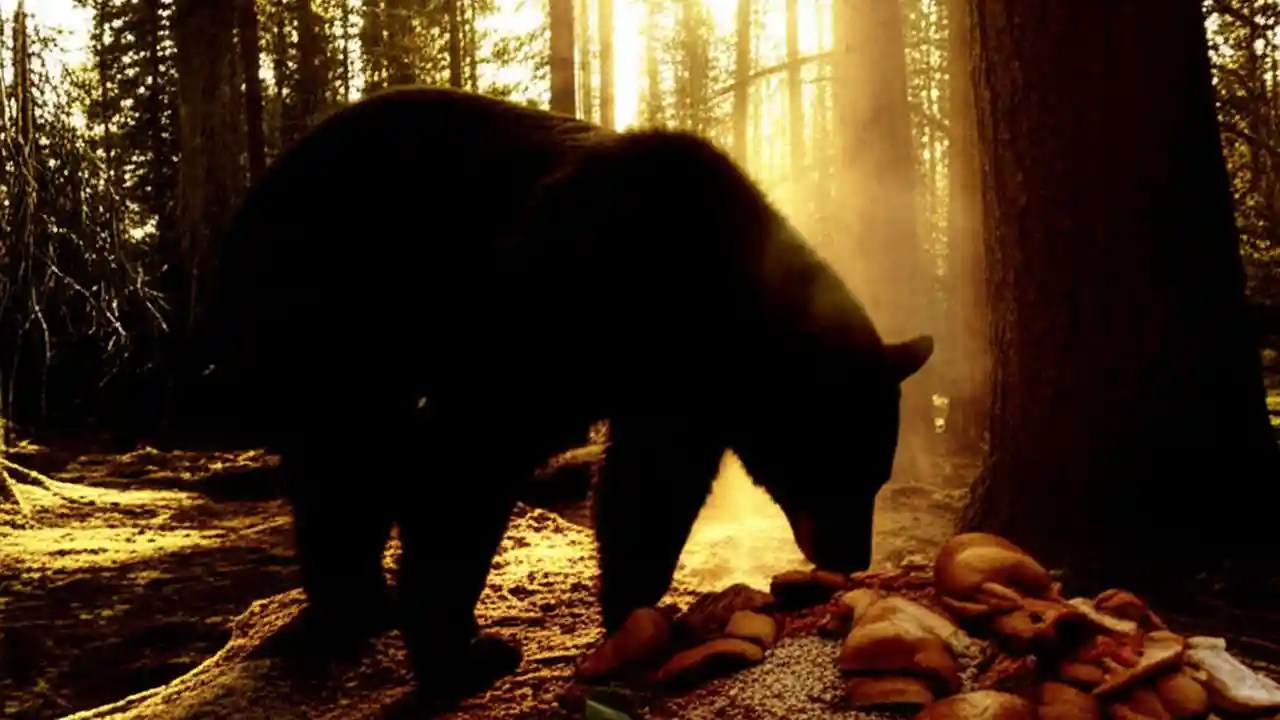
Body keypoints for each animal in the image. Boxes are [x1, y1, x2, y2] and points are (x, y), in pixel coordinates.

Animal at [196, 86, 933, 710]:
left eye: (877, 474)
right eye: (841, 472)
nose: (853, 557)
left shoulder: (676, 385)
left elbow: (651, 486)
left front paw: (636, 611)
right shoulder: (556, 304)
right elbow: (468, 454)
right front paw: (463, 656)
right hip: (324, 302)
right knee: (343, 454)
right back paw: (353, 608)